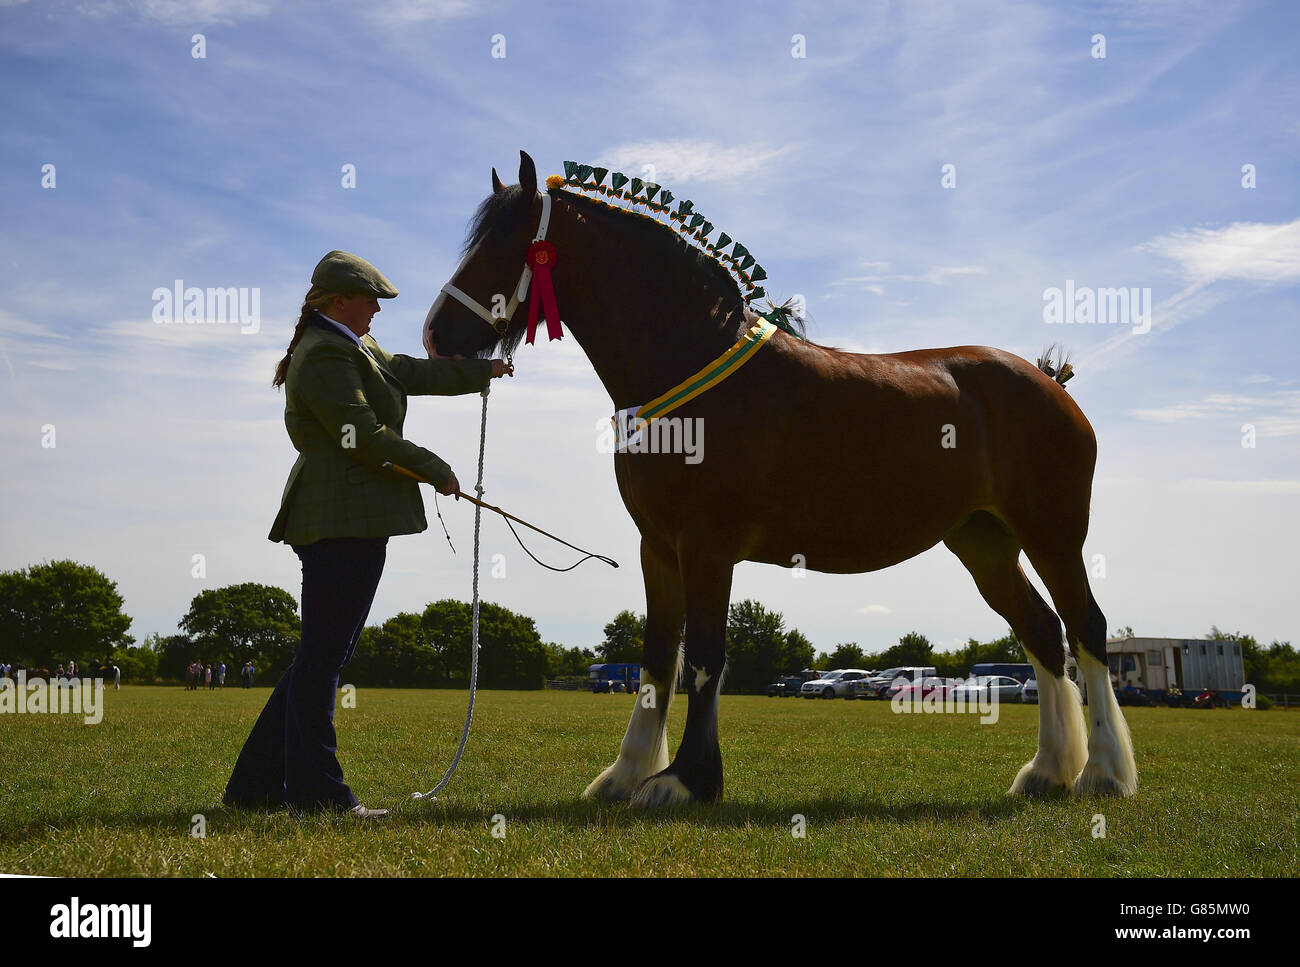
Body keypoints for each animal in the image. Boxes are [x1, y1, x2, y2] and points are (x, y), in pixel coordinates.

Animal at [423, 151, 1137, 807]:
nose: (435, 335)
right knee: (1043, 633)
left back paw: (1103, 773)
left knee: (1086, 627)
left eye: (503, 246)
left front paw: (684, 781)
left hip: (1052, 535)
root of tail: (1048, 381)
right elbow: (657, 659)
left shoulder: (707, 545)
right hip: (984, 543)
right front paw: (626, 775)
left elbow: (704, 656)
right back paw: (1047, 772)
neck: (688, 367)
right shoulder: (658, 547)